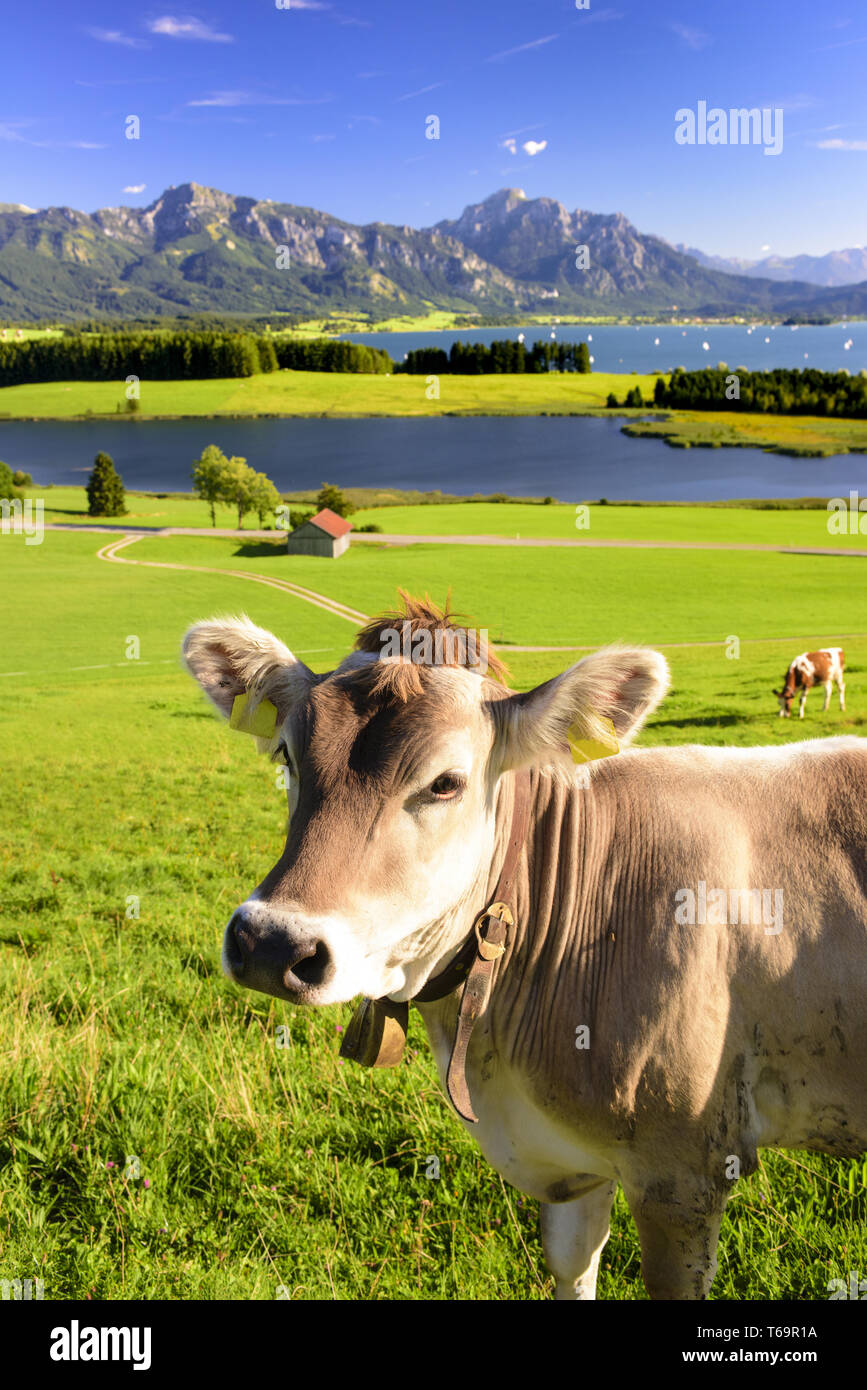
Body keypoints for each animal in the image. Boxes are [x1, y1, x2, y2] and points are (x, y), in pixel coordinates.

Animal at [182, 597, 867, 1301]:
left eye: (445, 783)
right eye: (287, 757)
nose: (271, 943)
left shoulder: (682, 1172)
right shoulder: (574, 1164)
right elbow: (572, 1263)